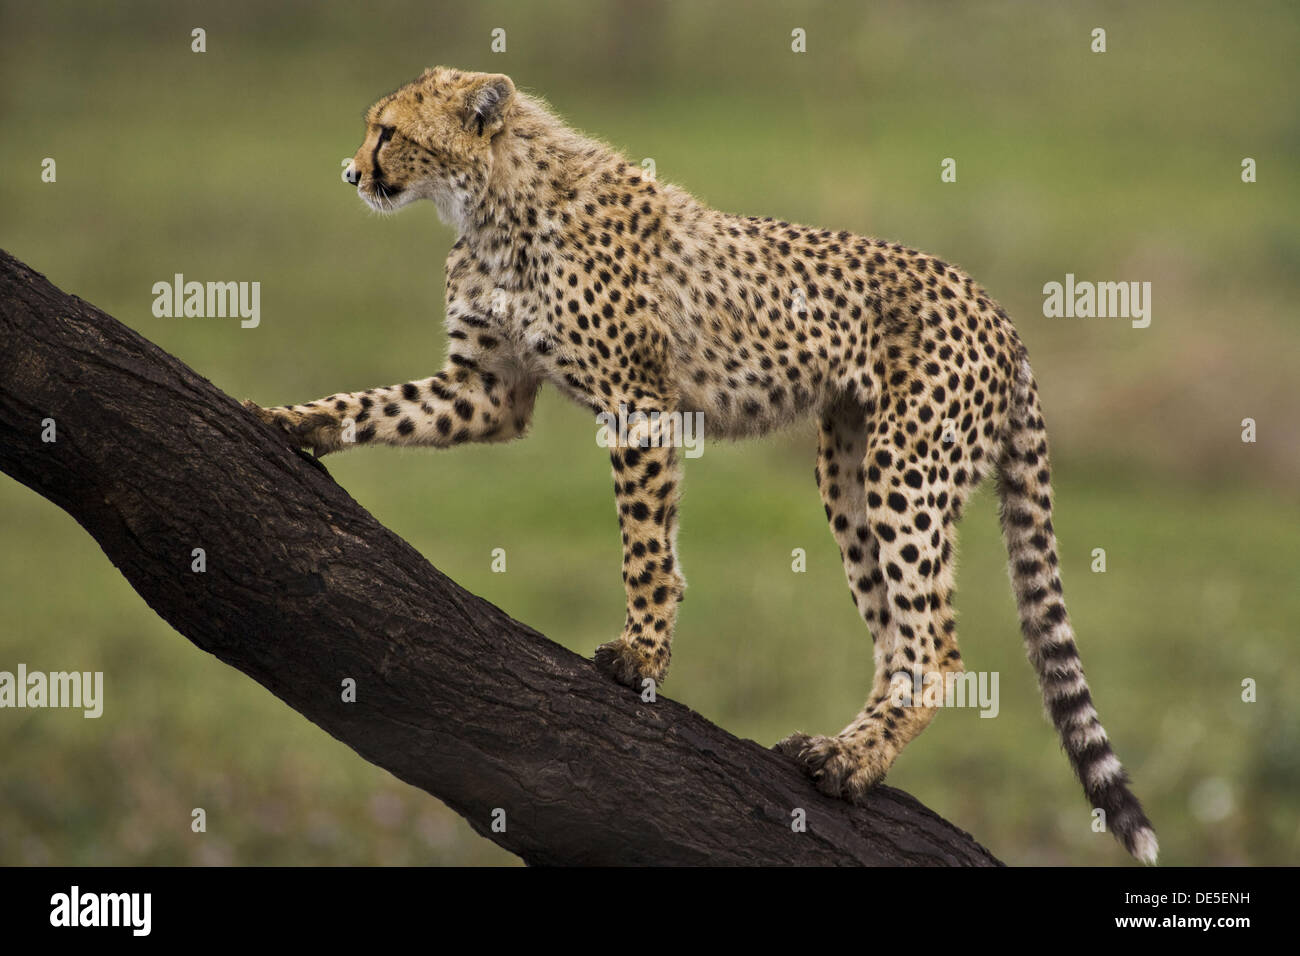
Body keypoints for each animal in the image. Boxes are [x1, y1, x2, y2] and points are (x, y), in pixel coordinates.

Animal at [245, 67, 1157, 863]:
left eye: (388, 132)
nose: (353, 171)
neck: (494, 201)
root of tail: (999, 312)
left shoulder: (638, 402)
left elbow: (647, 549)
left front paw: (642, 657)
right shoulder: (485, 393)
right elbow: (375, 403)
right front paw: (283, 421)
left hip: (907, 470)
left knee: (937, 647)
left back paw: (854, 760)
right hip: (849, 473)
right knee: (897, 638)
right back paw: (843, 750)